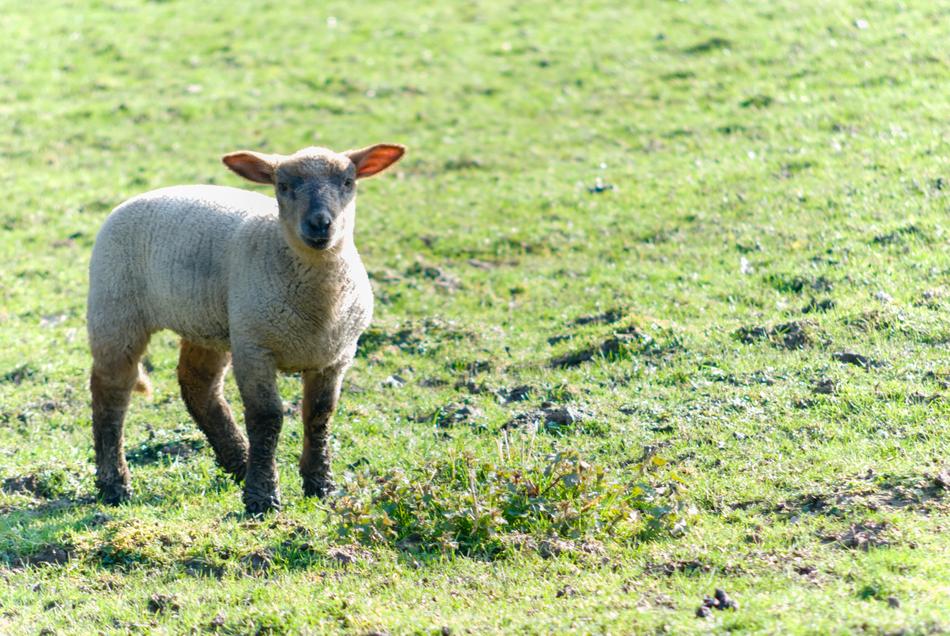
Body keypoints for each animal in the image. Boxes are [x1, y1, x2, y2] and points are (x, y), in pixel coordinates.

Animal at [87, 143, 405, 513]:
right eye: (283, 185)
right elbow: (267, 417)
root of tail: (133, 200)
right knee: (111, 391)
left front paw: (321, 486)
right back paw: (114, 485)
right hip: (115, 309)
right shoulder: (255, 349)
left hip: (210, 323)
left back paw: (239, 462)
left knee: (199, 386)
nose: (320, 224)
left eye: (348, 182)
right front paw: (263, 497)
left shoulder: (336, 356)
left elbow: (319, 415)